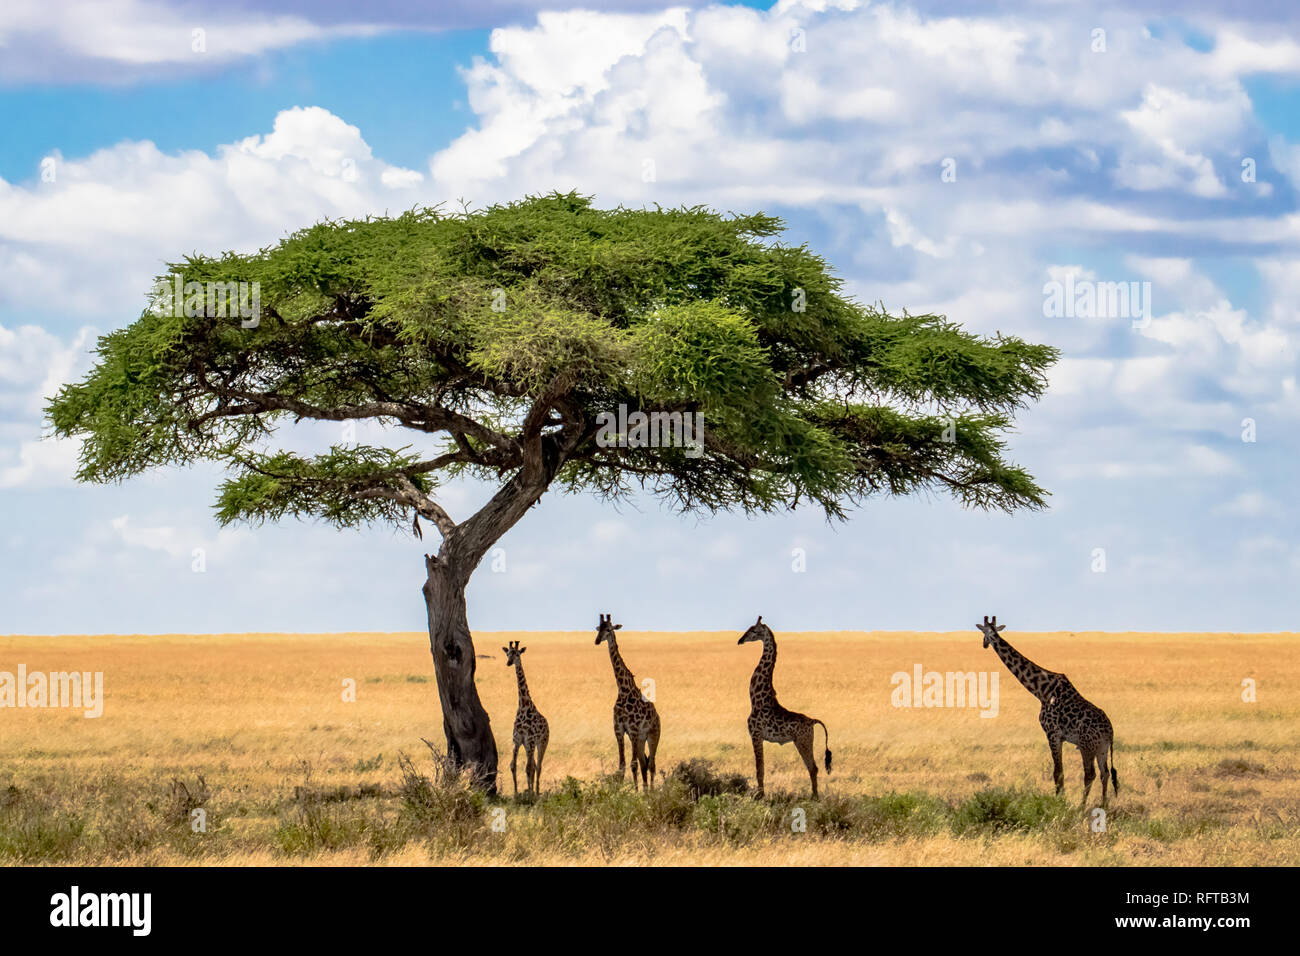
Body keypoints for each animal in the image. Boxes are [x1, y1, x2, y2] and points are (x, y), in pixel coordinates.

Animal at [501, 640, 549, 797]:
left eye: (517, 654)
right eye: (507, 653)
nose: (509, 663)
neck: (523, 706)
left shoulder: (531, 740)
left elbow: (529, 768)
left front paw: (530, 794)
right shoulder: (517, 740)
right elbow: (513, 766)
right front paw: (516, 794)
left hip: (542, 743)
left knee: (538, 766)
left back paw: (537, 792)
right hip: (529, 746)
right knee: (533, 764)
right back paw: (532, 790)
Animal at [594, 613, 660, 789]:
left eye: (609, 629)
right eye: (598, 629)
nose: (597, 641)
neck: (623, 691)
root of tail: (658, 716)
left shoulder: (634, 729)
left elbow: (633, 764)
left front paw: (636, 793)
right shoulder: (619, 729)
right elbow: (622, 765)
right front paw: (623, 791)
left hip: (653, 735)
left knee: (652, 764)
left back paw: (651, 791)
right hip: (640, 739)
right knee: (645, 763)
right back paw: (646, 790)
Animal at [738, 616, 832, 797]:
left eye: (754, 630)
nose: (740, 641)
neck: (757, 698)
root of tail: (813, 721)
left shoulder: (756, 734)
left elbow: (760, 769)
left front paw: (760, 796)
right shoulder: (757, 736)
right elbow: (760, 769)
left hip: (803, 741)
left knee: (813, 767)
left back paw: (814, 797)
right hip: (802, 741)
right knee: (813, 767)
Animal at [977, 615, 1118, 807]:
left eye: (987, 634)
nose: (985, 644)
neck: (1041, 691)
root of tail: (1110, 732)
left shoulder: (1052, 733)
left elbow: (1057, 773)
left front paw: (1059, 803)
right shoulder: (1060, 737)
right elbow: (1060, 772)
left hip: (1086, 746)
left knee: (1090, 774)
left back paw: (1081, 808)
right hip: (1101, 748)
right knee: (1105, 774)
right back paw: (1104, 805)